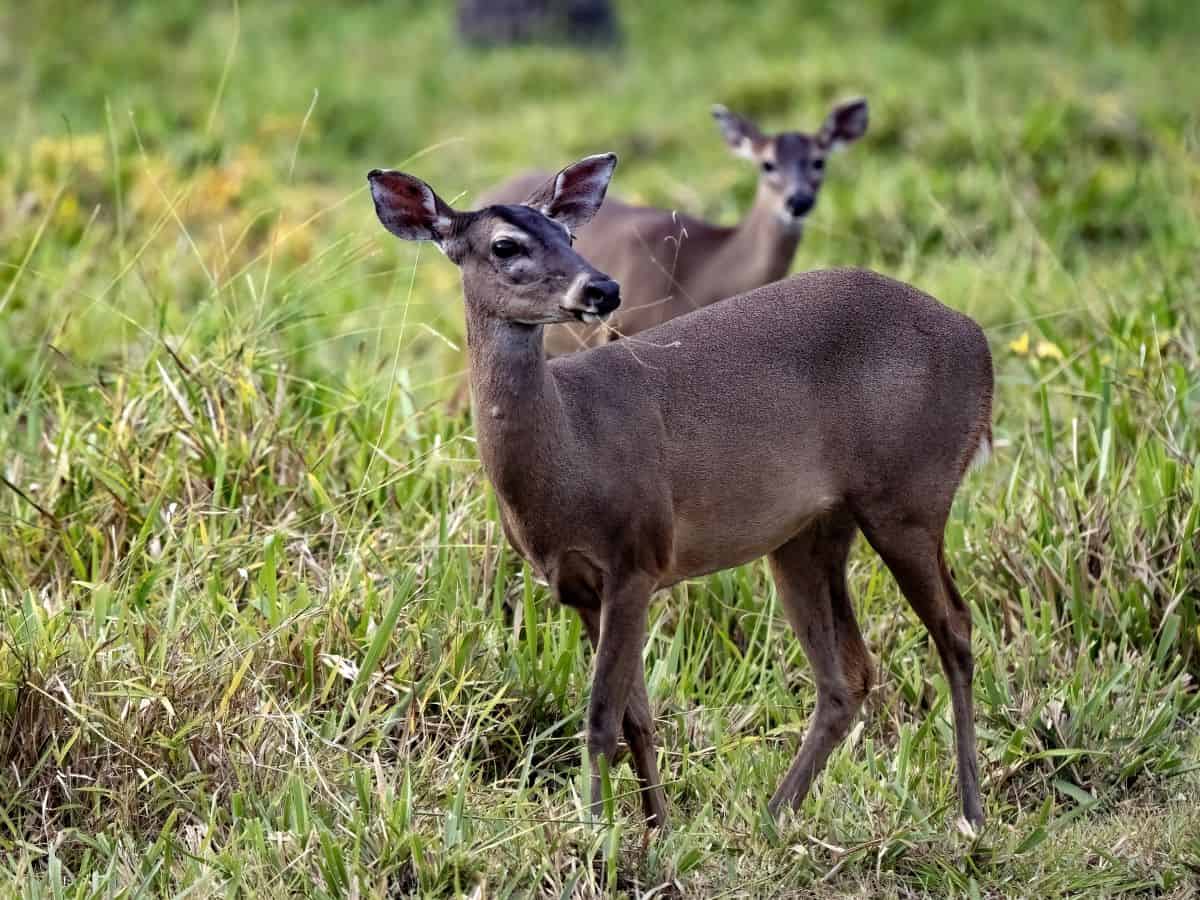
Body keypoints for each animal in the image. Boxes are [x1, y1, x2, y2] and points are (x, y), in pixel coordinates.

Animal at [367, 153, 993, 832]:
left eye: (569, 234)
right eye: (505, 245)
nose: (602, 290)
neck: (570, 453)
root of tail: (977, 341)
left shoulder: (637, 554)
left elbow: (600, 718)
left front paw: (597, 832)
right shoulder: (581, 584)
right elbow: (635, 716)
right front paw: (656, 829)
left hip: (911, 495)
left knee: (955, 630)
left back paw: (970, 813)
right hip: (810, 531)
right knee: (847, 674)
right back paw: (773, 817)